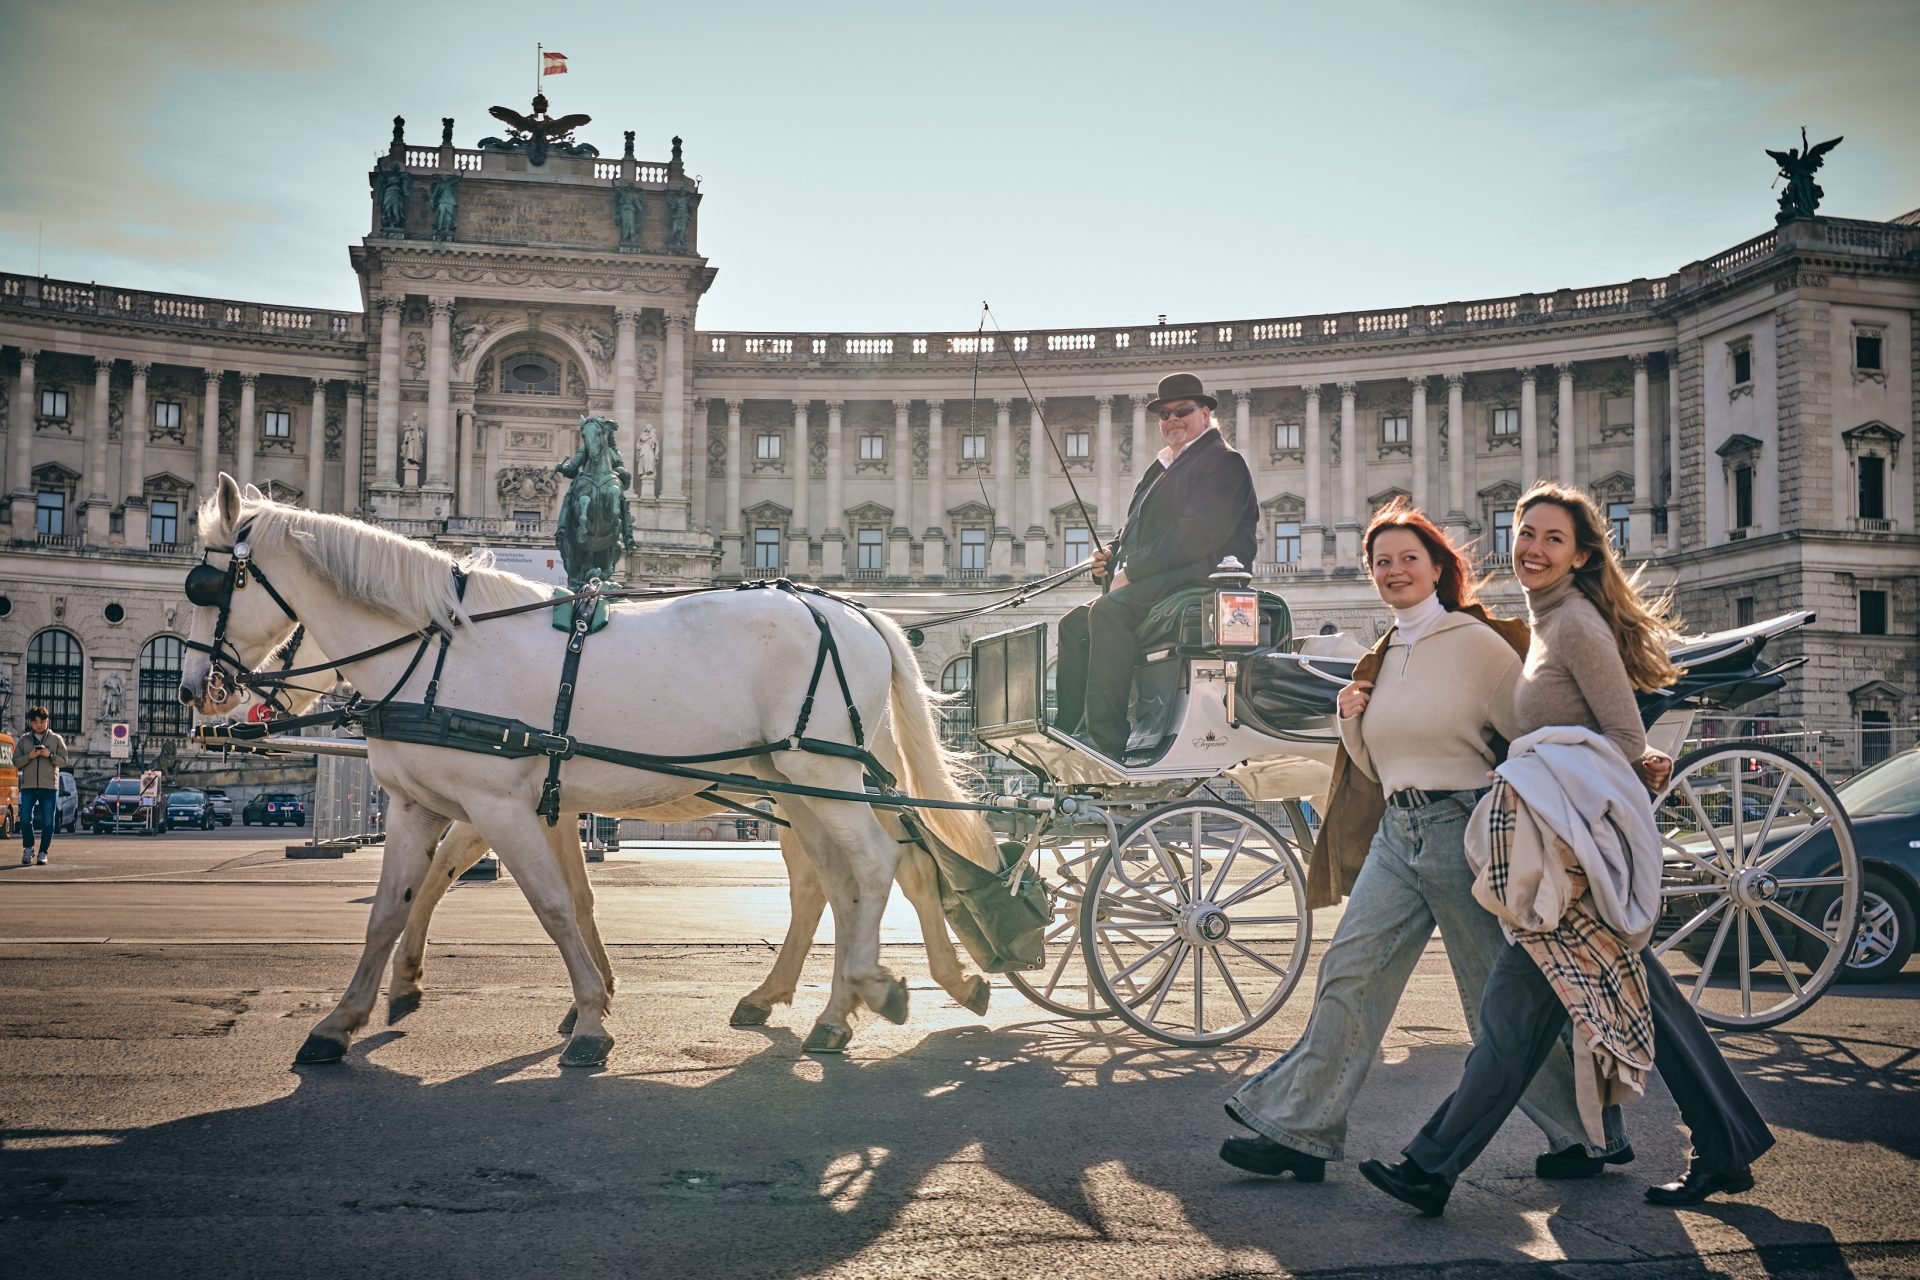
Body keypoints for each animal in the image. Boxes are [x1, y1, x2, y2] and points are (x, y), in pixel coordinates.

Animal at [183, 475, 1006, 1066]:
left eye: (209, 587)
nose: (199, 692)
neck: (442, 648)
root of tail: (856, 612)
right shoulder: (430, 805)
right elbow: (397, 909)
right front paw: (344, 1019)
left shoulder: (501, 803)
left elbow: (549, 904)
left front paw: (587, 1022)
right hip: (805, 784)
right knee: (851, 878)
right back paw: (833, 1005)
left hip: (822, 776)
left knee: (876, 865)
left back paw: (871, 992)